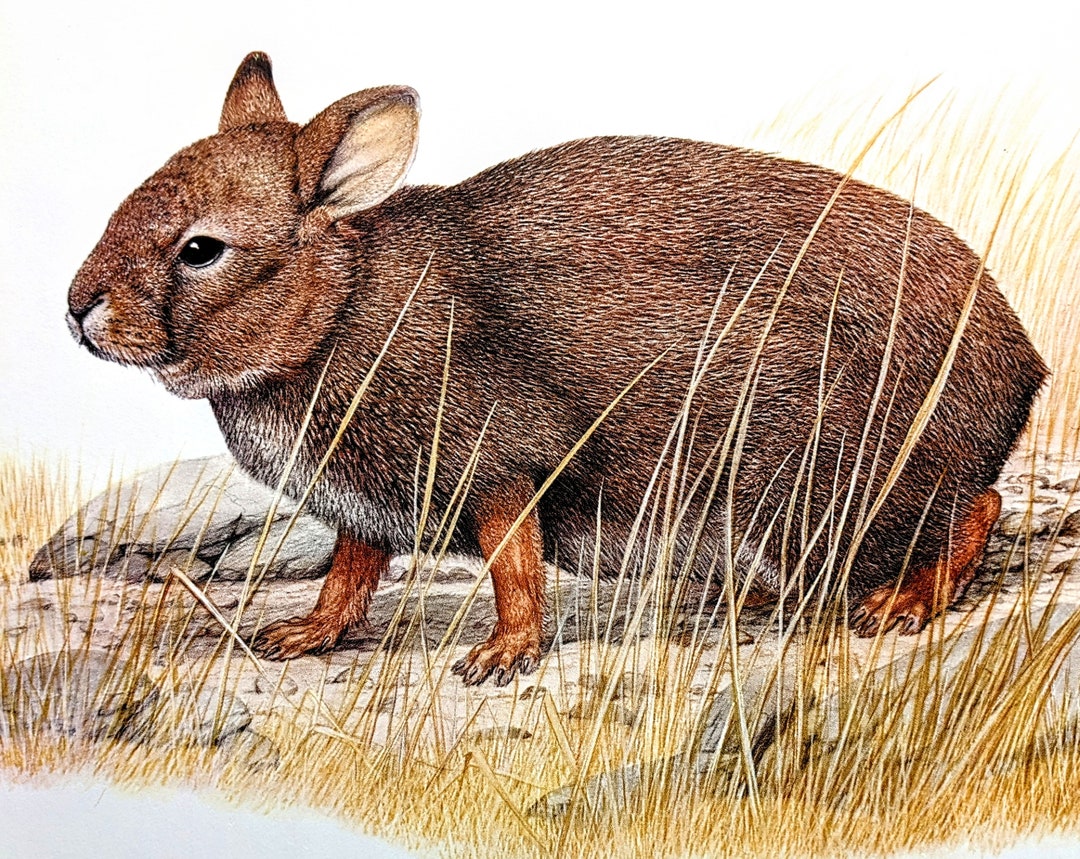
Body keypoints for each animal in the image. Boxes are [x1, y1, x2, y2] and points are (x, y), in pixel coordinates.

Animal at [67, 52, 1047, 686]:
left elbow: (515, 566)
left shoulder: (500, 463)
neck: (337, 310)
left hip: (852, 483)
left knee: (979, 507)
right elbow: (350, 571)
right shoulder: (366, 507)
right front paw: (298, 635)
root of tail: (1023, 362)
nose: (77, 307)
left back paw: (904, 605)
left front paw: (500, 657)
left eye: (202, 249)